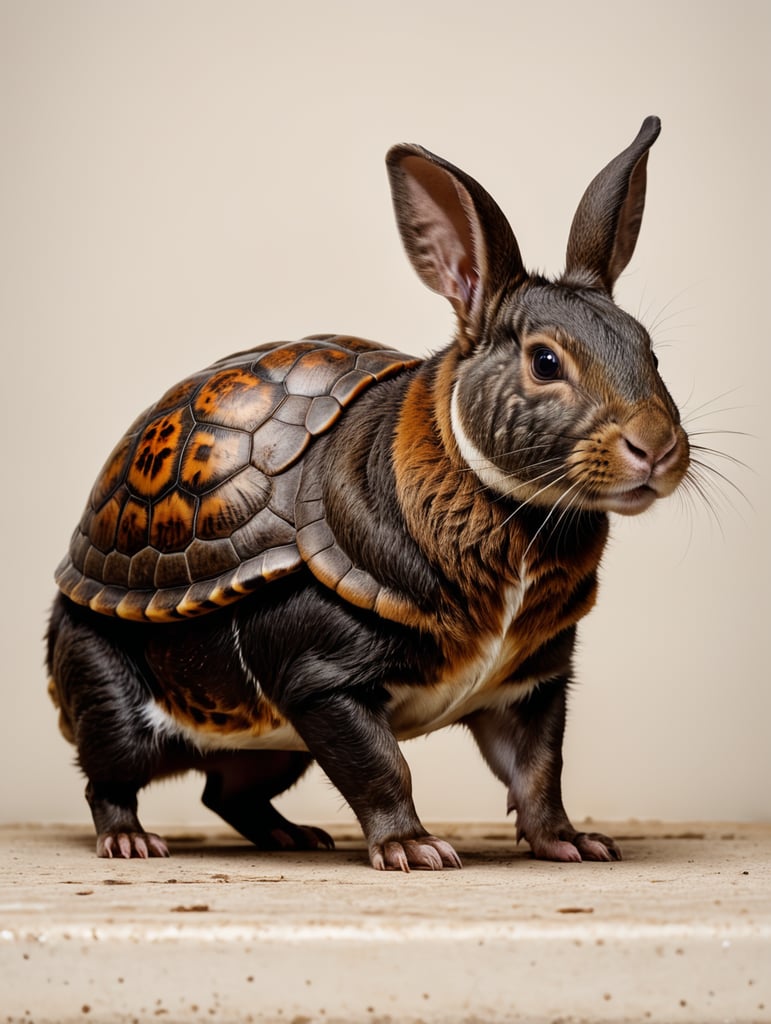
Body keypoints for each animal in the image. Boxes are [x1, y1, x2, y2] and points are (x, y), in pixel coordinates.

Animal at [47, 115, 690, 870]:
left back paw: (290, 835)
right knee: (110, 766)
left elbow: (537, 767)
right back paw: (129, 839)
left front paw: (569, 841)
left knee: (227, 789)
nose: (656, 447)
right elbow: (380, 764)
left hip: (272, 748)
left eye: (649, 351)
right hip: (101, 669)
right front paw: (412, 847)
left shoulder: (532, 679)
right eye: (544, 361)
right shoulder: (321, 679)